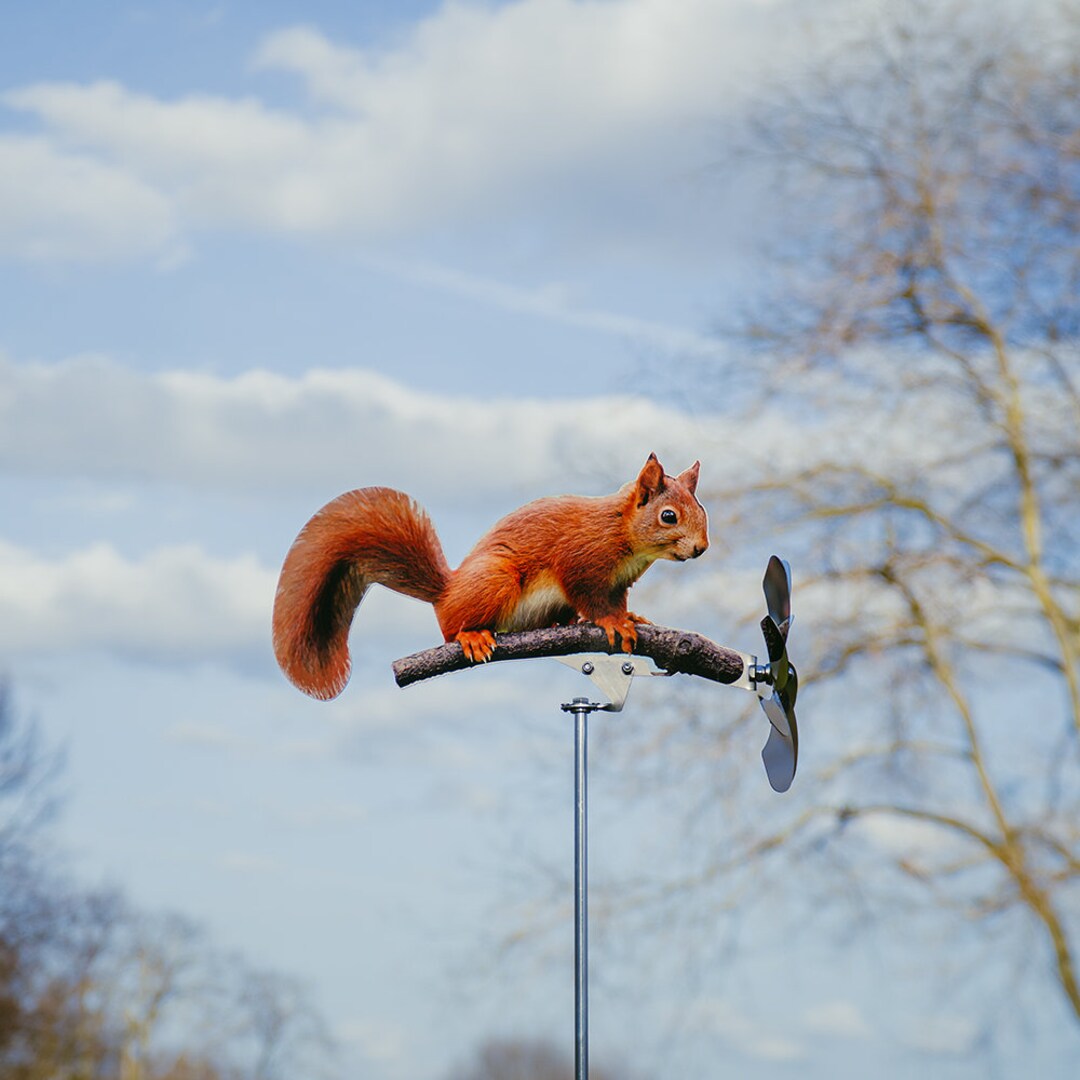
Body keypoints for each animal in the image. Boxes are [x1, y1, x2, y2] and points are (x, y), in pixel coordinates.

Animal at [272, 453, 709, 699]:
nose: (701, 548)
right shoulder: (580, 561)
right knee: (451, 629)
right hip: (494, 581)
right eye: (668, 516)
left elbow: (617, 601)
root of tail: (446, 593)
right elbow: (592, 599)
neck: (622, 531)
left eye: (702, 510)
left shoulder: (619, 582)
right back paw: (472, 635)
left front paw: (630, 616)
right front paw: (614, 623)